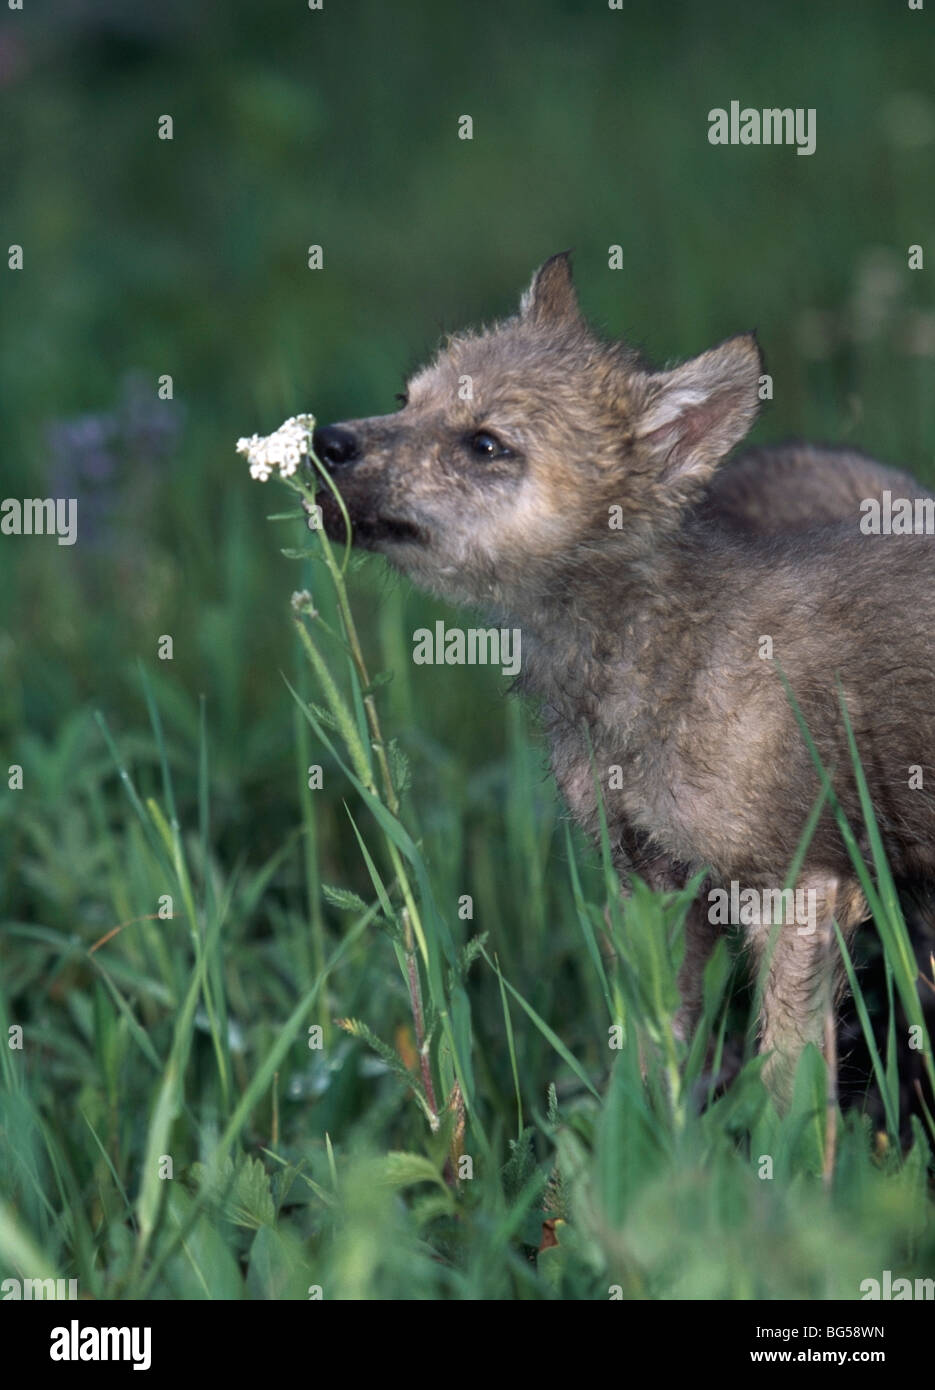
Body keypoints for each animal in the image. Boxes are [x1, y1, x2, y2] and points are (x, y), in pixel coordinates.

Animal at [312, 253, 935, 1104]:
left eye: (486, 444)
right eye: (406, 400)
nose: (324, 441)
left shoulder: (796, 888)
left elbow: (787, 1083)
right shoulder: (648, 881)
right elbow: (654, 1050)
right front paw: (645, 1131)